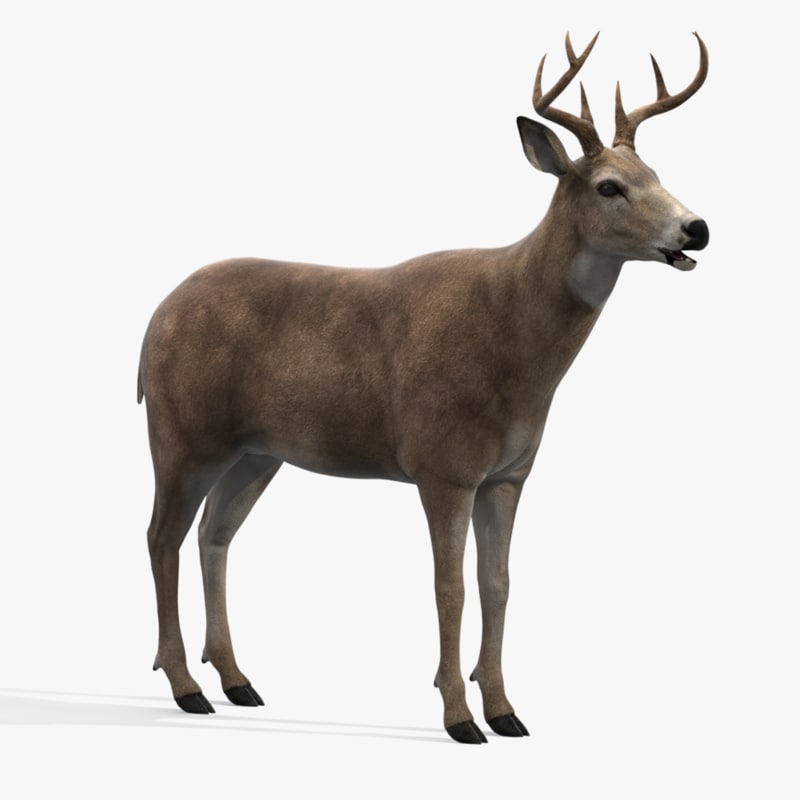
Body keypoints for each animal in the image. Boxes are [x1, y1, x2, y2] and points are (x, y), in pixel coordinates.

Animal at [138, 32, 709, 744]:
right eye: (610, 186)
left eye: (656, 174)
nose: (696, 229)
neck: (516, 344)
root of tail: (152, 323)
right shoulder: (442, 464)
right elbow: (450, 587)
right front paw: (460, 717)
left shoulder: (508, 474)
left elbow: (498, 583)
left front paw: (505, 710)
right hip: (182, 431)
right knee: (161, 536)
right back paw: (186, 687)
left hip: (257, 451)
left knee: (214, 535)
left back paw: (237, 681)